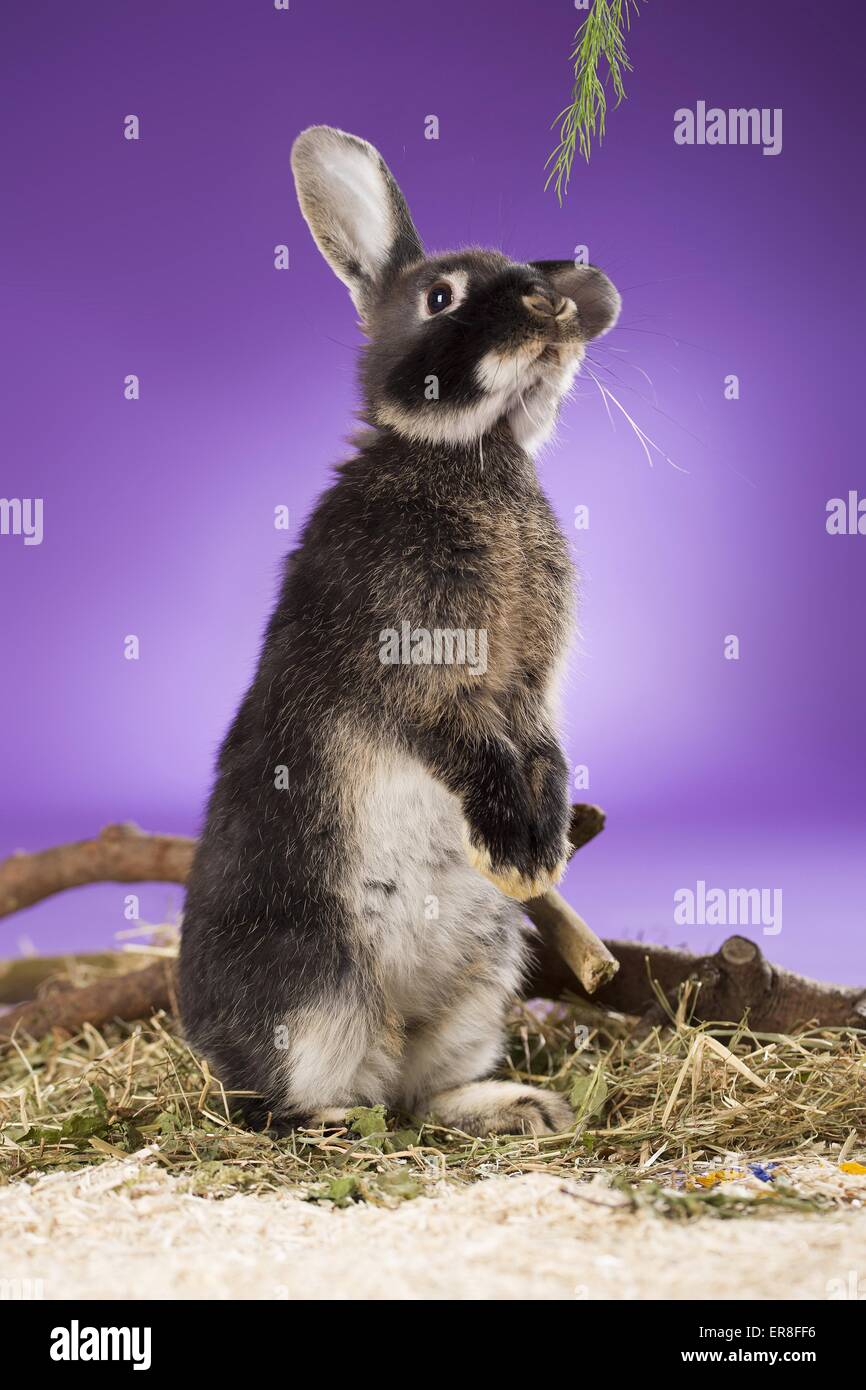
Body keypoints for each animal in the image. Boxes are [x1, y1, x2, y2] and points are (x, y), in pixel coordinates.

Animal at [179, 126, 620, 1137]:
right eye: (442, 296)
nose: (549, 303)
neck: (469, 454)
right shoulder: (415, 666)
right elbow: (456, 739)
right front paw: (517, 851)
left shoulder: (531, 685)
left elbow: (540, 739)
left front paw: (541, 847)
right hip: (320, 989)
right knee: (304, 1096)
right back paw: (334, 1122)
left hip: (480, 984)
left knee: (422, 1092)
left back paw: (521, 1106)